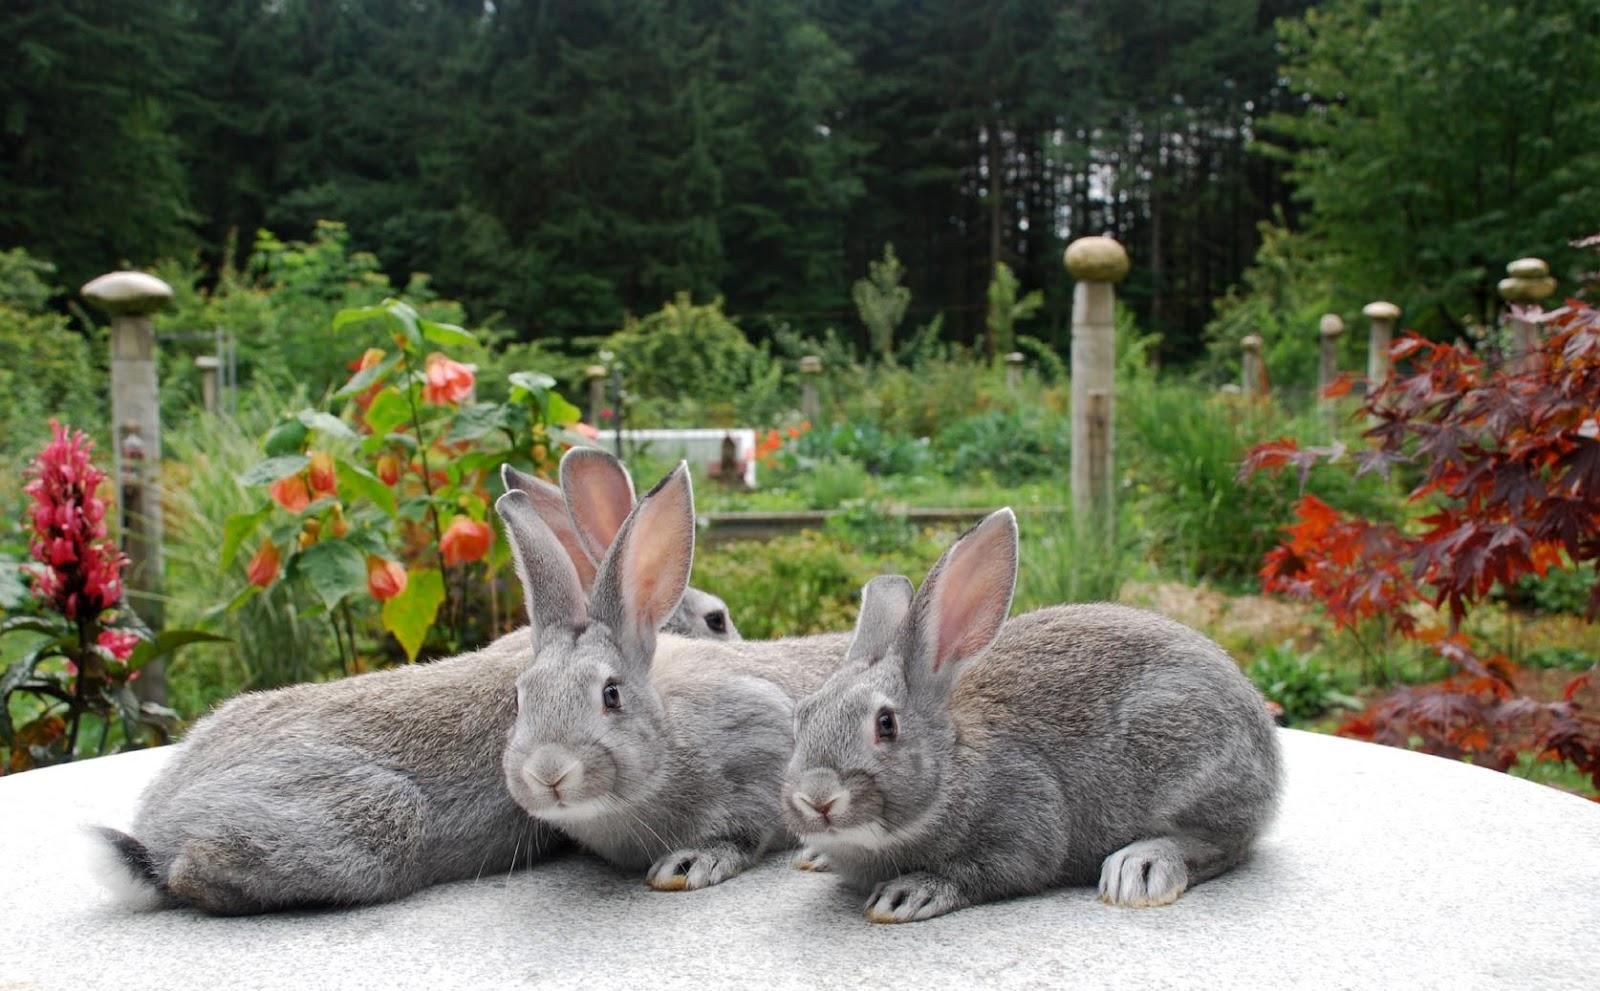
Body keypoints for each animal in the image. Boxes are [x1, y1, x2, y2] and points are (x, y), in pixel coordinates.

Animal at [495, 461, 850, 892]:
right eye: (519, 699)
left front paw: (690, 862)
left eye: (611, 694)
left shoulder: (764, 743)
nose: (548, 771)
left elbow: (749, 825)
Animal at [780, 508, 1282, 923]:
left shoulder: (1027, 822)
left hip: (1189, 756)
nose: (817, 798)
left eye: (886, 725)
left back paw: (1139, 867)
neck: (954, 768)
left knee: (1223, 844)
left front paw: (909, 893)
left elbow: (993, 869)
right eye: (801, 719)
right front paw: (817, 857)